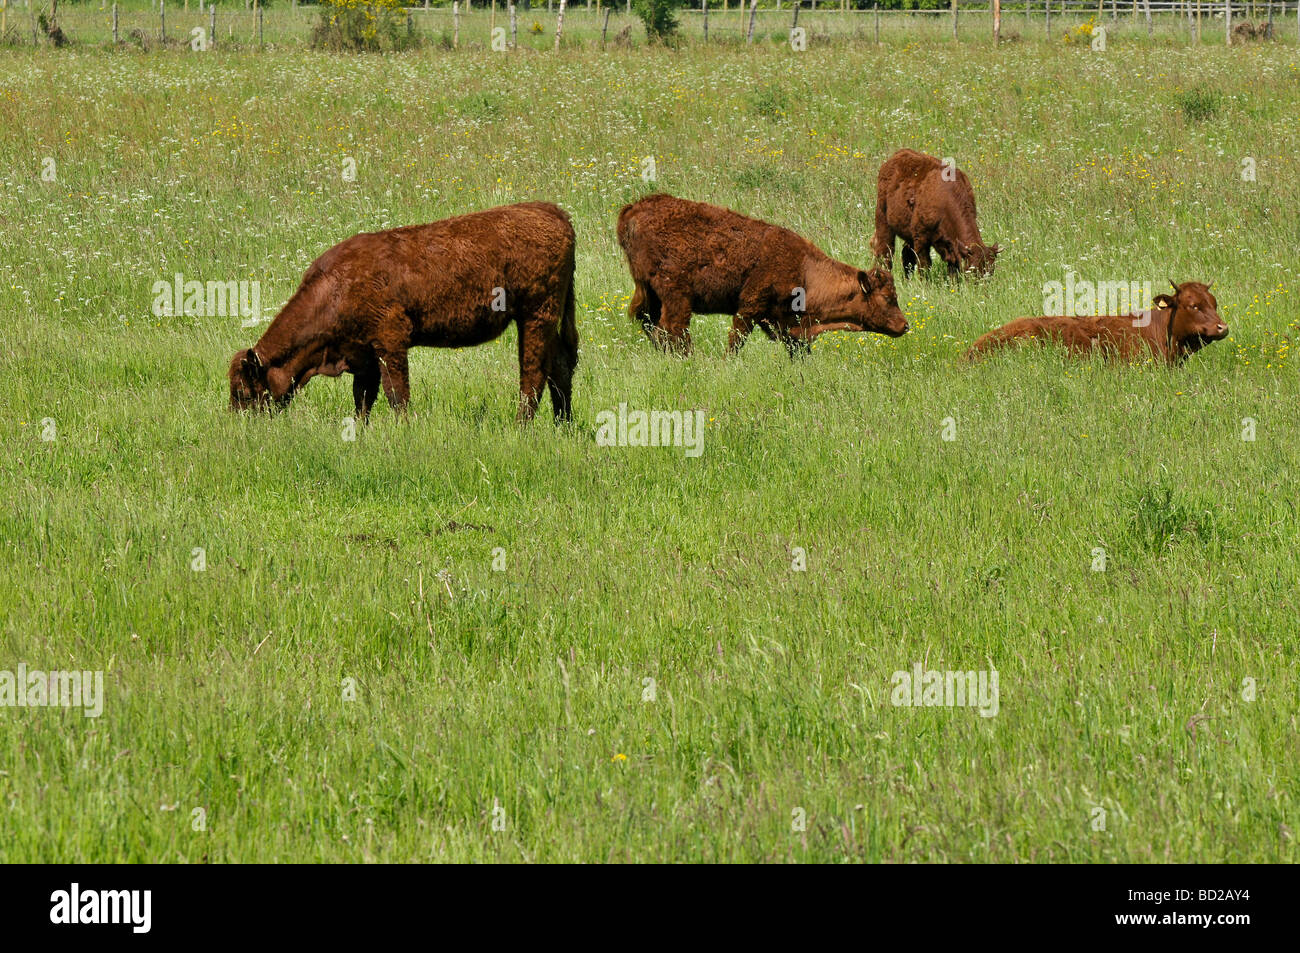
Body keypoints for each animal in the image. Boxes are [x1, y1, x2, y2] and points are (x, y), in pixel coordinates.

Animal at [228, 202, 577, 422]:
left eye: (243, 391)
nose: (238, 423)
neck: (336, 287)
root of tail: (552, 211)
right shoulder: (363, 356)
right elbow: (363, 399)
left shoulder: (390, 343)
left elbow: (397, 395)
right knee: (561, 365)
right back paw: (562, 425)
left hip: (535, 316)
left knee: (533, 372)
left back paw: (522, 425)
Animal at [616, 193, 908, 357]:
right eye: (888, 298)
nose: (905, 325)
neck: (804, 268)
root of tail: (633, 209)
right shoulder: (749, 308)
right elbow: (735, 342)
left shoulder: (789, 325)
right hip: (676, 296)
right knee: (672, 329)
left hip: (648, 292)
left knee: (650, 324)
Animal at [870, 149, 1000, 278]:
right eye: (973, 271)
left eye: (992, 270)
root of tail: (897, 155)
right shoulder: (921, 238)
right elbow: (924, 265)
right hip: (882, 219)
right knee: (885, 251)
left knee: (906, 255)